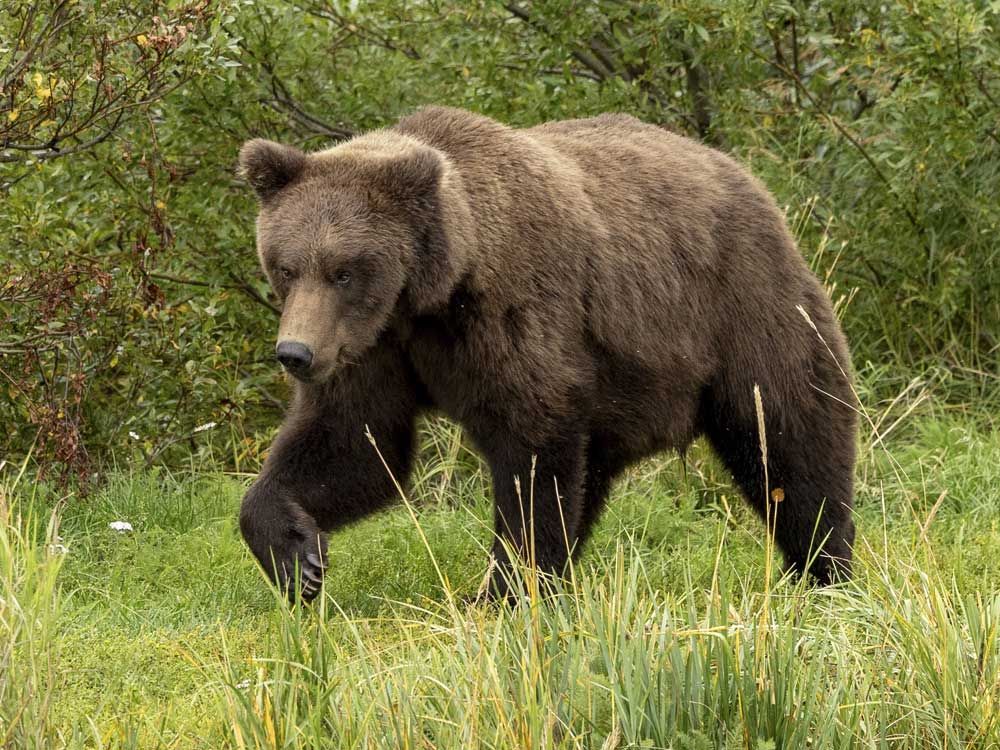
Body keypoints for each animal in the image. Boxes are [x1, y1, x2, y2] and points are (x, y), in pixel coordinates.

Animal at [237, 106, 857, 601]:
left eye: (343, 270)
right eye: (286, 267)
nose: (295, 353)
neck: (432, 295)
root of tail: (745, 177)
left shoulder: (513, 313)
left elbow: (531, 451)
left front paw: (506, 590)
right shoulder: (375, 347)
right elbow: (355, 443)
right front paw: (297, 559)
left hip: (740, 308)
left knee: (789, 435)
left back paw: (826, 568)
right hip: (622, 388)